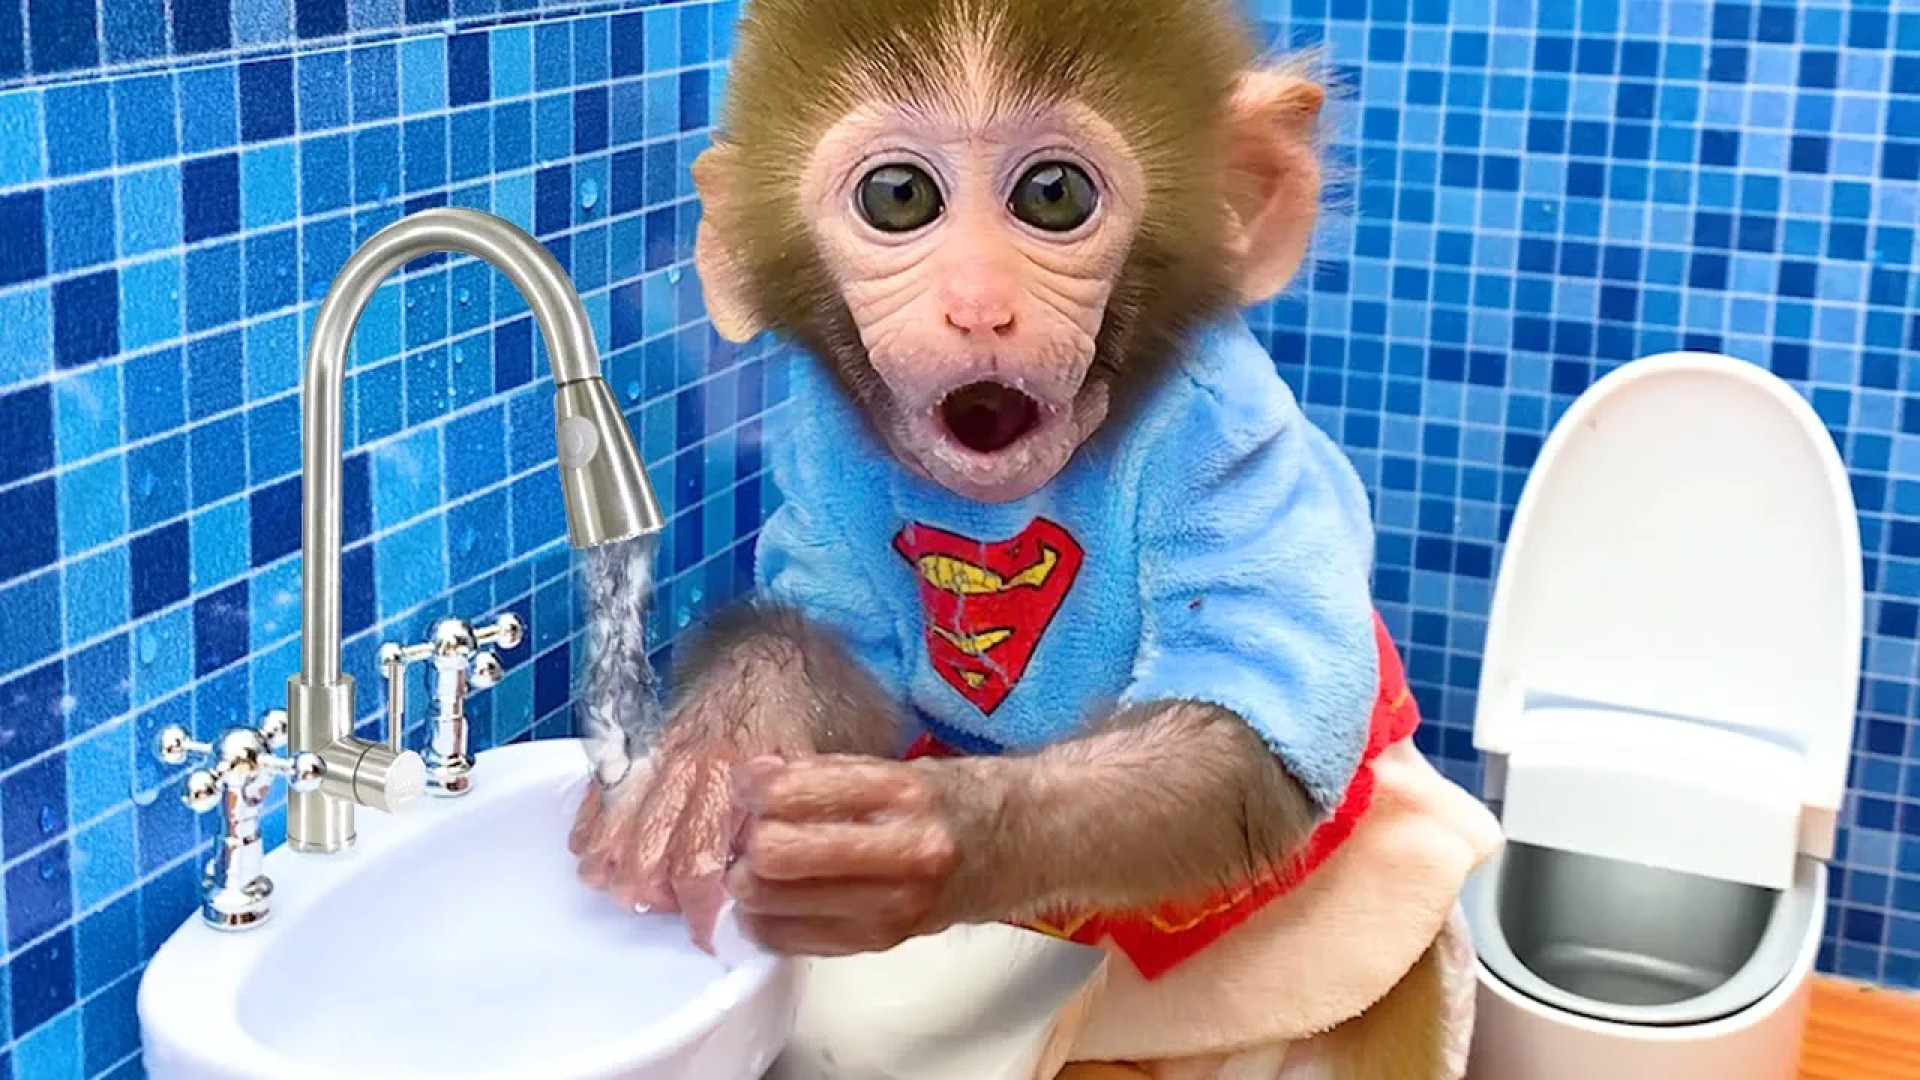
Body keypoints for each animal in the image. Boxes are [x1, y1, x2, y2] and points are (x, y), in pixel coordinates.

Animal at [569, 1, 1503, 1076]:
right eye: (899, 198)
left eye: (1053, 196)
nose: (979, 307)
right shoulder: (820, 451)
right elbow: (842, 661)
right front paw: (714, 755)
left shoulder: (1220, 433)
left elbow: (1241, 718)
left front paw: (926, 841)